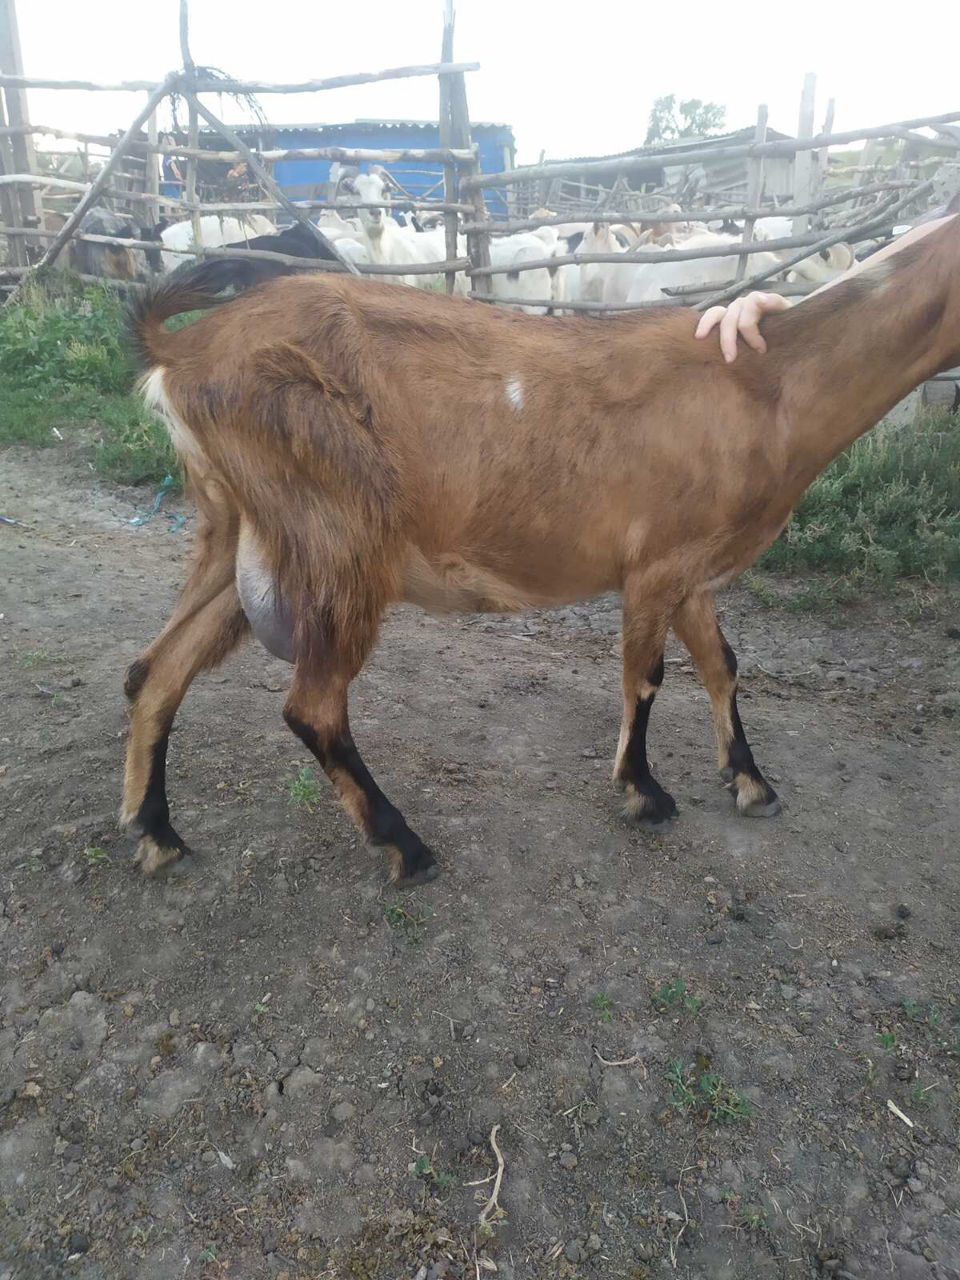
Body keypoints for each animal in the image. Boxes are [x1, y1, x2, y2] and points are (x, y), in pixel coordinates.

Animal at [122, 216, 960, 885]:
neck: (767, 385)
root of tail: (182, 351)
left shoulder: (692, 569)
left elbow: (722, 663)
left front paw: (750, 783)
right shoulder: (655, 562)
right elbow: (646, 675)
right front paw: (644, 793)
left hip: (243, 528)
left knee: (156, 672)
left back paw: (157, 834)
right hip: (337, 528)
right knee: (313, 705)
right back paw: (406, 847)